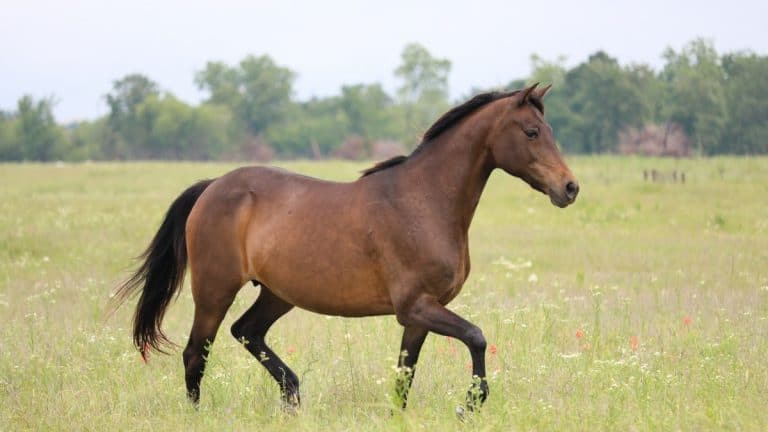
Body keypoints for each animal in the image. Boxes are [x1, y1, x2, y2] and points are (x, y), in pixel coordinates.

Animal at [113, 83, 579, 412]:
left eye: (551, 131)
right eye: (532, 132)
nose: (570, 188)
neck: (424, 201)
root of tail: (213, 187)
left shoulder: (419, 315)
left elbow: (404, 376)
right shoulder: (416, 306)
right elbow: (477, 338)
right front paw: (471, 404)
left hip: (278, 294)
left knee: (247, 332)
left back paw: (292, 394)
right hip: (214, 291)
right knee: (196, 353)